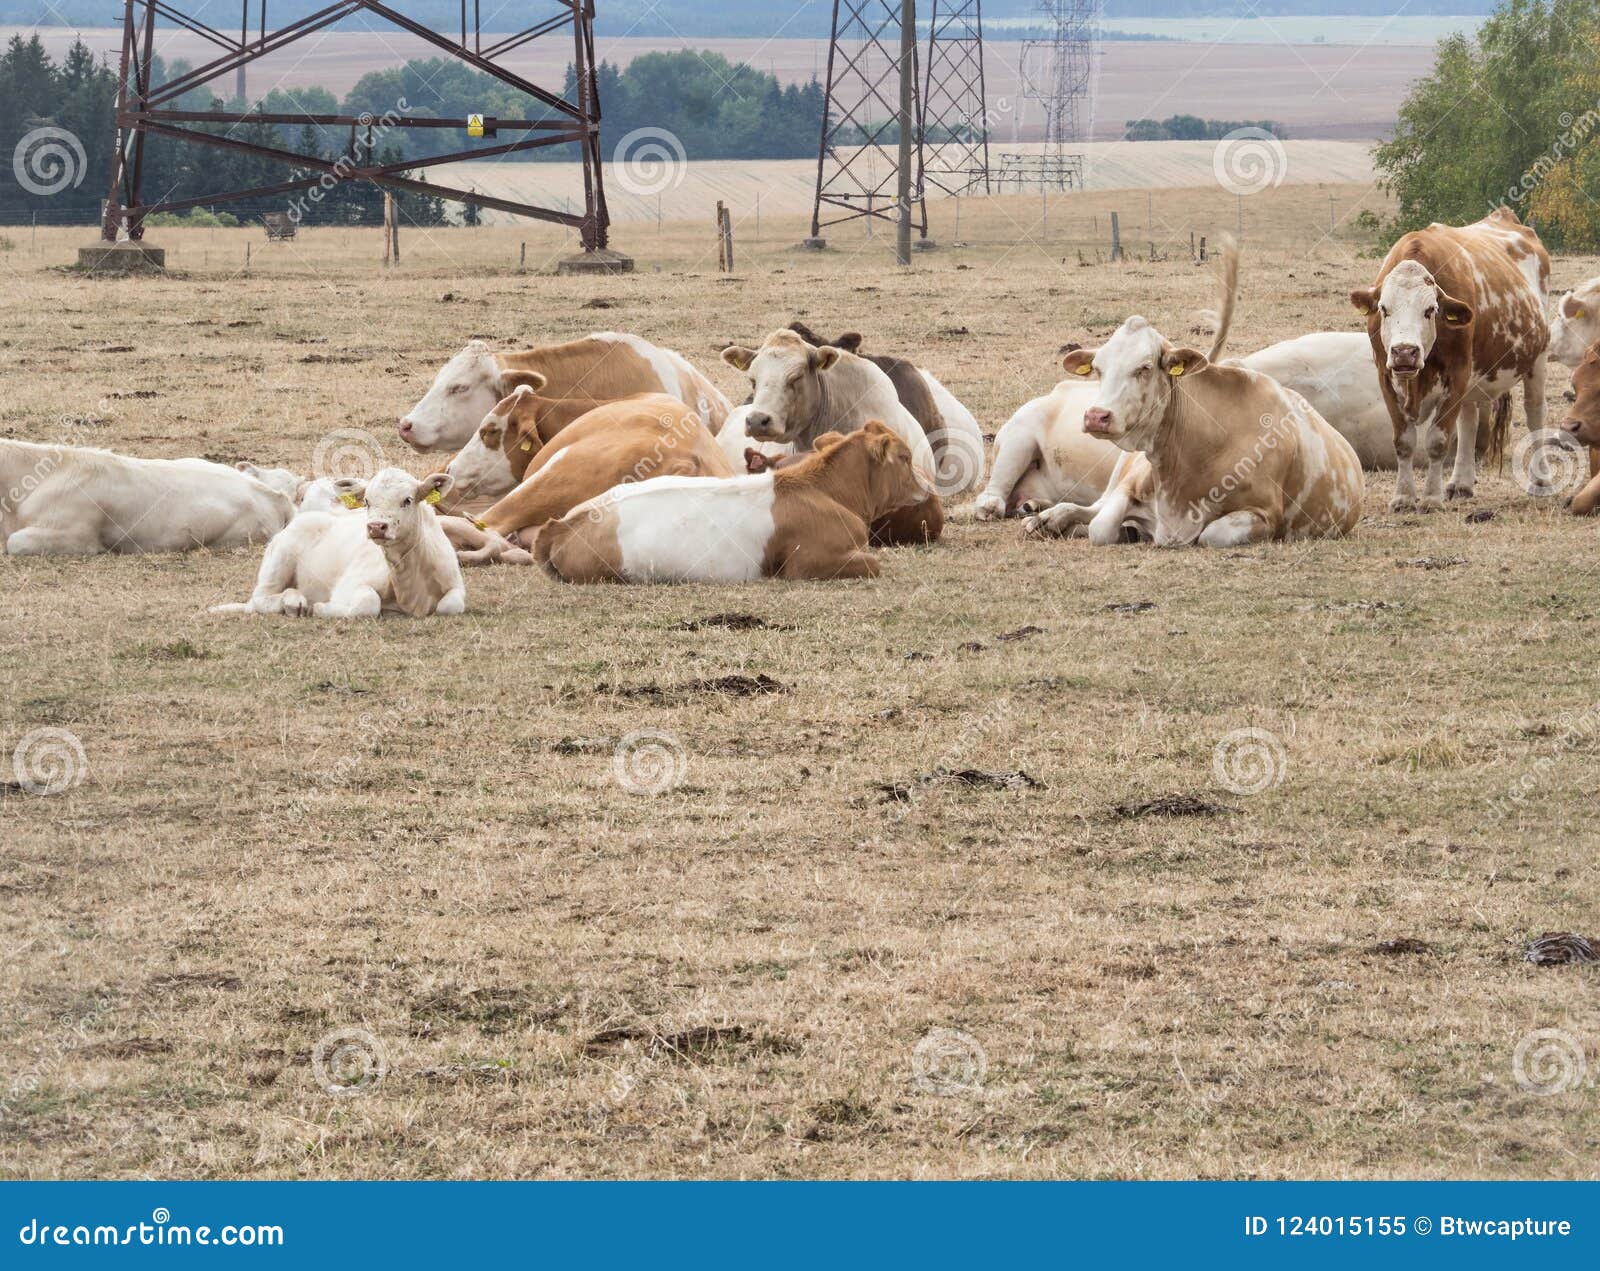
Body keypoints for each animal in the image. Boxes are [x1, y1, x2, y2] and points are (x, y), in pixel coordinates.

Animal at [210, 469, 465, 618]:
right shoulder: (348, 586)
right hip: (278, 562)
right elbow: (368, 603)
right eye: (366, 501)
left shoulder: (456, 586)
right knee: (259, 599)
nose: (376, 527)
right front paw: (321, 608)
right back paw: (294, 602)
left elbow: (450, 605)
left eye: (407, 500)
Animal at [536, 421, 929, 583]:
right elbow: (874, 564)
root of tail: (560, 524)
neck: (825, 491)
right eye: (905, 457)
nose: (927, 486)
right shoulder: (808, 563)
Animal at [1023, 316, 1363, 547]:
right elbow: (1100, 527)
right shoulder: (1128, 487)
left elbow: (1213, 534)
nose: (1096, 416)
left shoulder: (1264, 513)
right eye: (1098, 369)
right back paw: (1044, 517)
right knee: (1089, 508)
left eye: (1145, 367)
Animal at [1350, 208, 1550, 510]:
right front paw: (1403, 497)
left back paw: (1541, 481)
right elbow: (1404, 442)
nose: (1405, 352)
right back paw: (1461, 482)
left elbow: (1437, 441)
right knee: (1468, 420)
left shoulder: (1456, 373)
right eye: (1384, 308)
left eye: (1430, 310)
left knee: (1535, 414)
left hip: (1536, 360)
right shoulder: (1386, 377)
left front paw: (1431, 498)